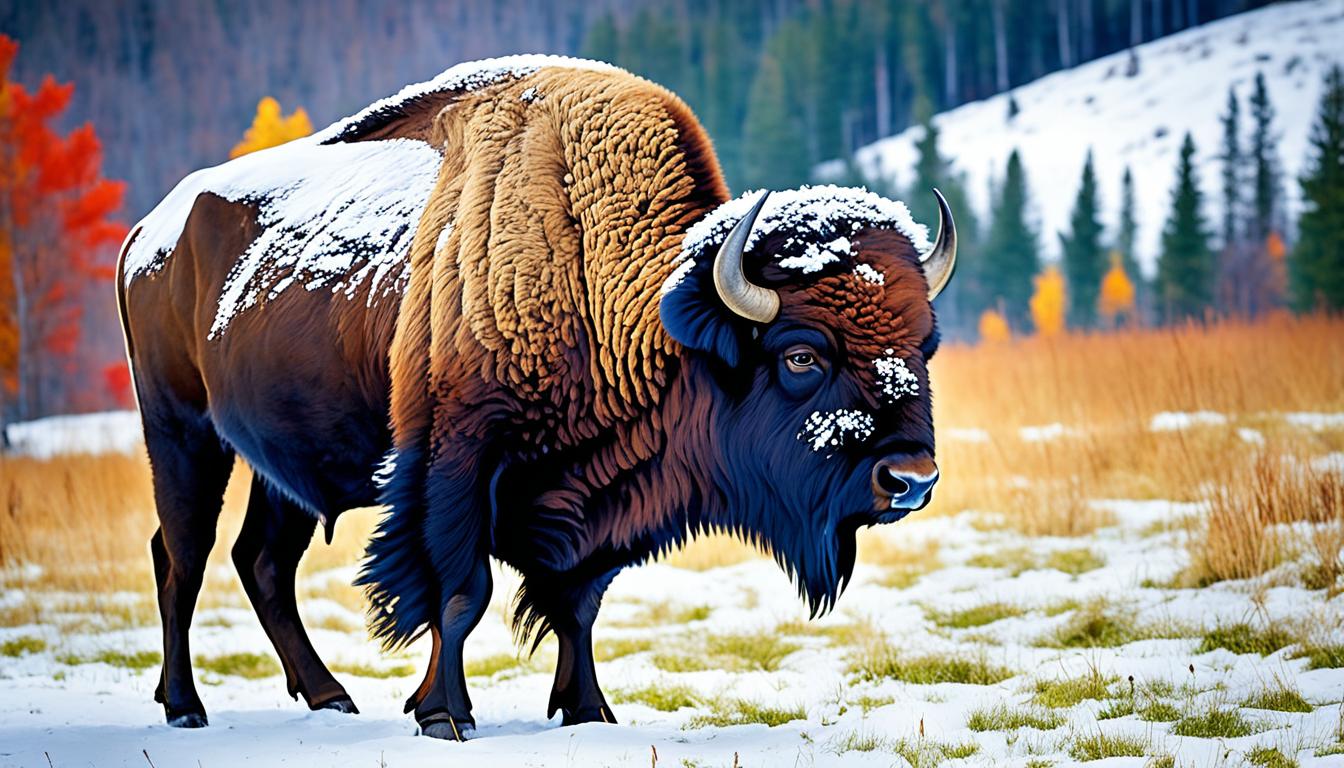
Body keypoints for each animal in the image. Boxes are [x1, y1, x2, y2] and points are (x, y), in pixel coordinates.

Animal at [117, 55, 955, 738]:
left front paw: (588, 711)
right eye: (802, 355)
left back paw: (330, 697)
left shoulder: (595, 500)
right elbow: (461, 593)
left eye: (926, 346)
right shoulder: (454, 463)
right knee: (181, 556)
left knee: (261, 560)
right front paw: (443, 715)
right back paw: (186, 707)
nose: (911, 480)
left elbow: (577, 604)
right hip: (182, 433)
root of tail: (148, 234)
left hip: (279, 465)